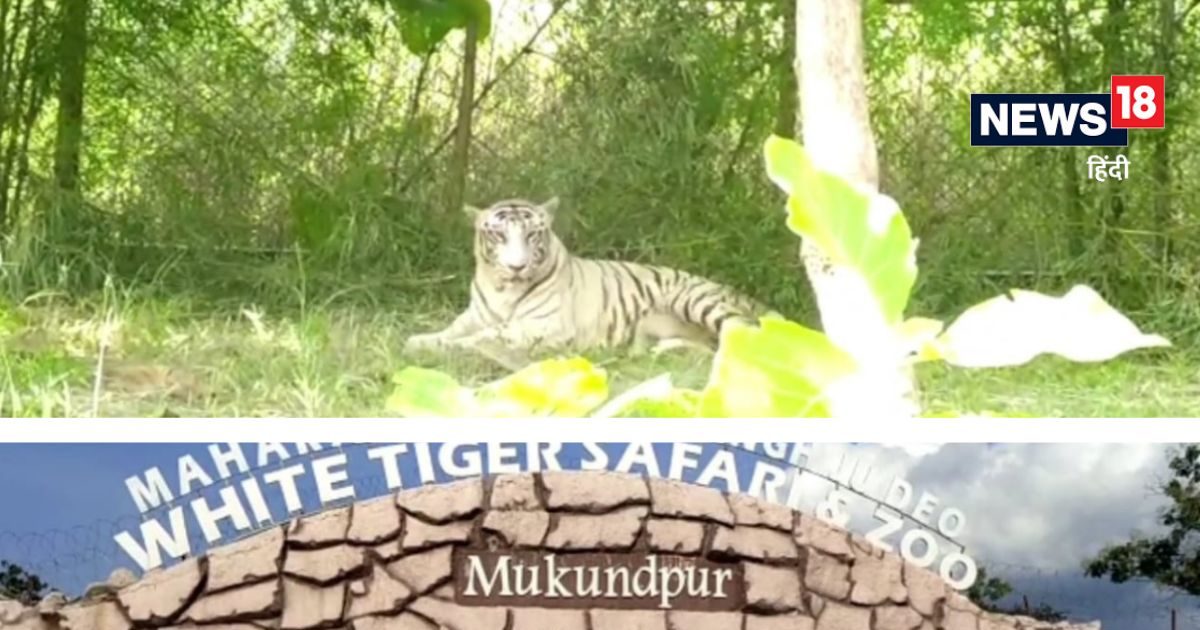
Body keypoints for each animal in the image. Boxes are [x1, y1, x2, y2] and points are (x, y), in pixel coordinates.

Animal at [403, 197, 768, 365]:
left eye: (532, 235)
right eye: (499, 235)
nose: (517, 266)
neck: (502, 288)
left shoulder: (543, 326)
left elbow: (487, 335)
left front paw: (447, 348)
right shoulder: (474, 315)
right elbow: (453, 329)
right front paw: (421, 339)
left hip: (694, 299)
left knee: (740, 334)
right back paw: (661, 350)